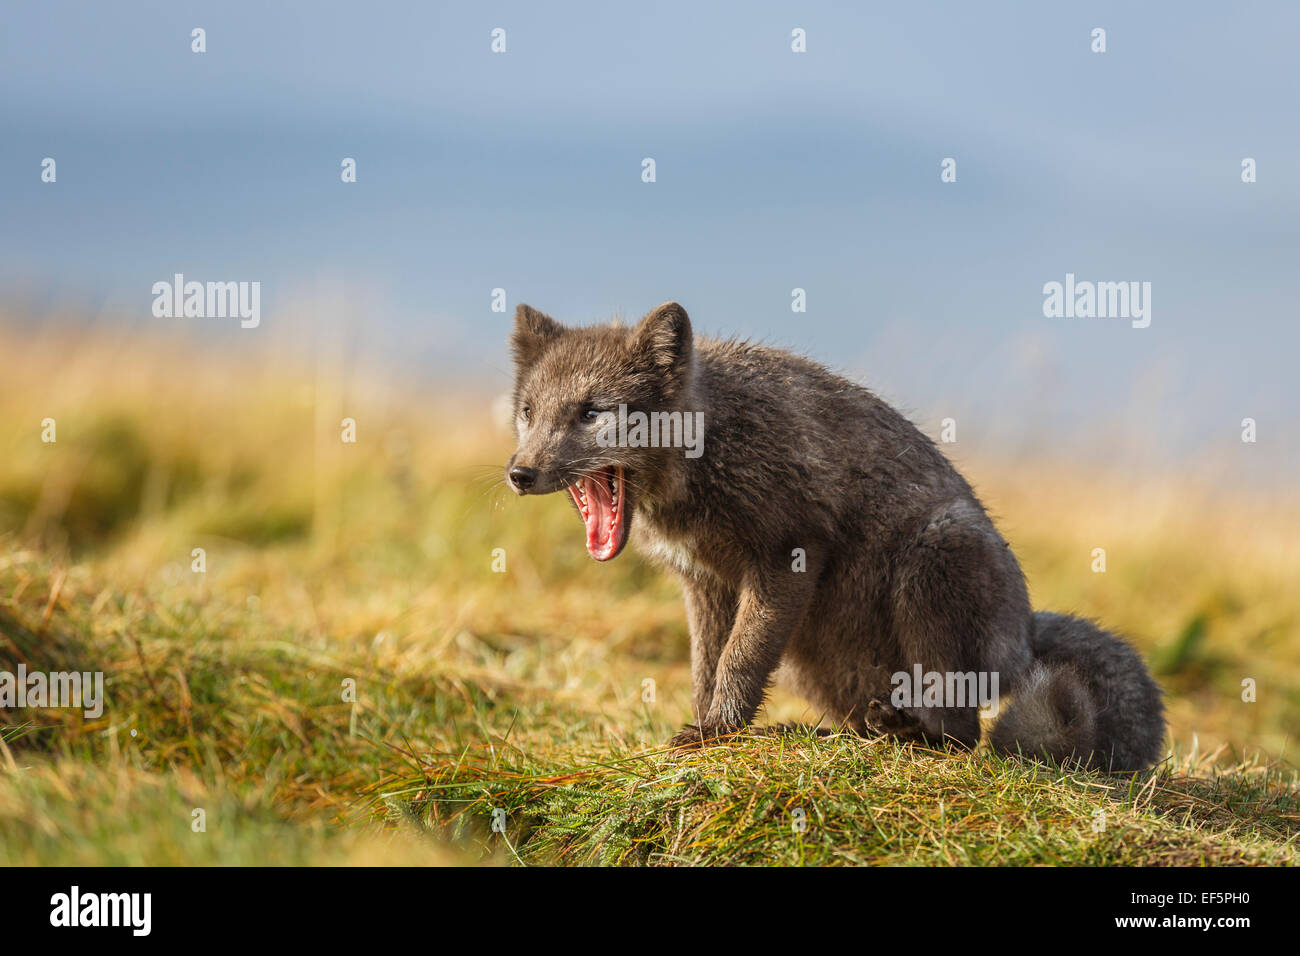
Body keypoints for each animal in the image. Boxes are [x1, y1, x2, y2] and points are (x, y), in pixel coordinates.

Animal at [505, 301, 1166, 771]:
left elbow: (739, 659)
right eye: (528, 412)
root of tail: (1026, 635)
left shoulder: (788, 554)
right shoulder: (704, 583)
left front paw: (716, 732)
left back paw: (907, 734)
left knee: (962, 735)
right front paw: (708, 729)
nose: (518, 474)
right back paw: (827, 731)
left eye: (593, 412)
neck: (711, 441)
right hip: (813, 661)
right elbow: (706, 666)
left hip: (929, 568)